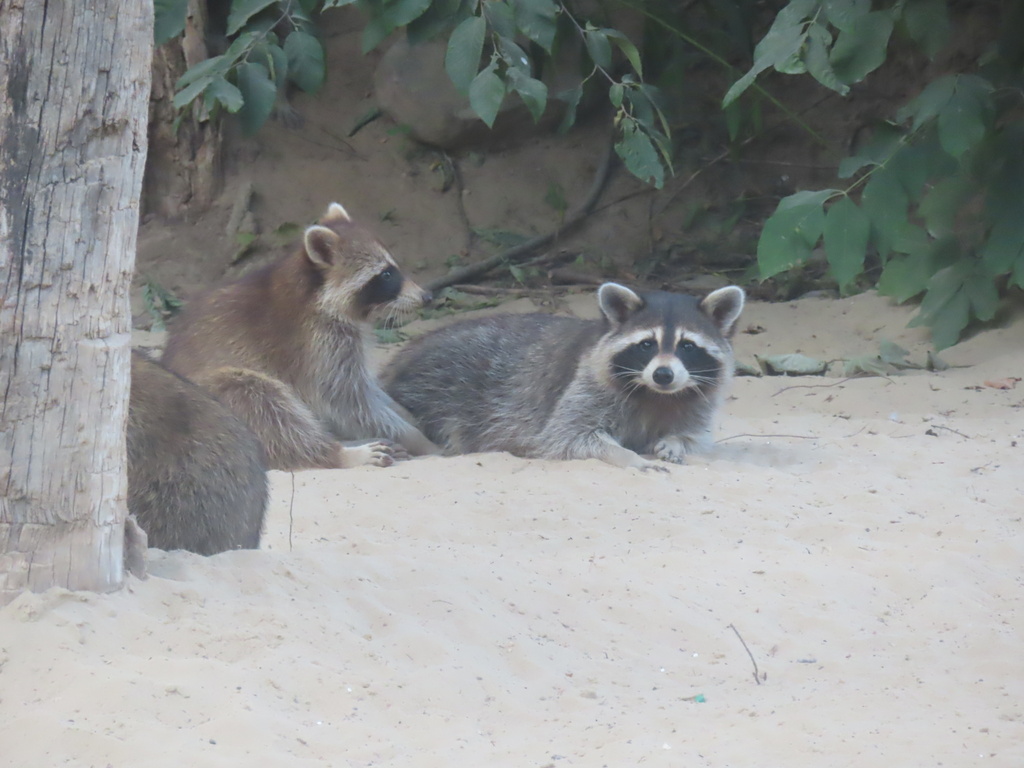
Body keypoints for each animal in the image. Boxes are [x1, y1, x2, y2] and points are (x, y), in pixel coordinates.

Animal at [162, 202, 440, 471]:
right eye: (386, 275)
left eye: (392, 269)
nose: (427, 296)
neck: (314, 291)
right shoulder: (318, 344)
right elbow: (347, 402)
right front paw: (417, 439)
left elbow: (367, 390)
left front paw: (404, 413)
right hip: (210, 399)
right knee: (264, 404)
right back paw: (338, 454)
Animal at [382, 282, 745, 470]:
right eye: (646, 344)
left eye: (687, 346)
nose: (664, 374)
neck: (654, 393)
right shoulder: (586, 384)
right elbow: (568, 435)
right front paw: (625, 455)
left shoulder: (698, 398)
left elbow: (697, 436)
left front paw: (676, 442)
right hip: (440, 384)